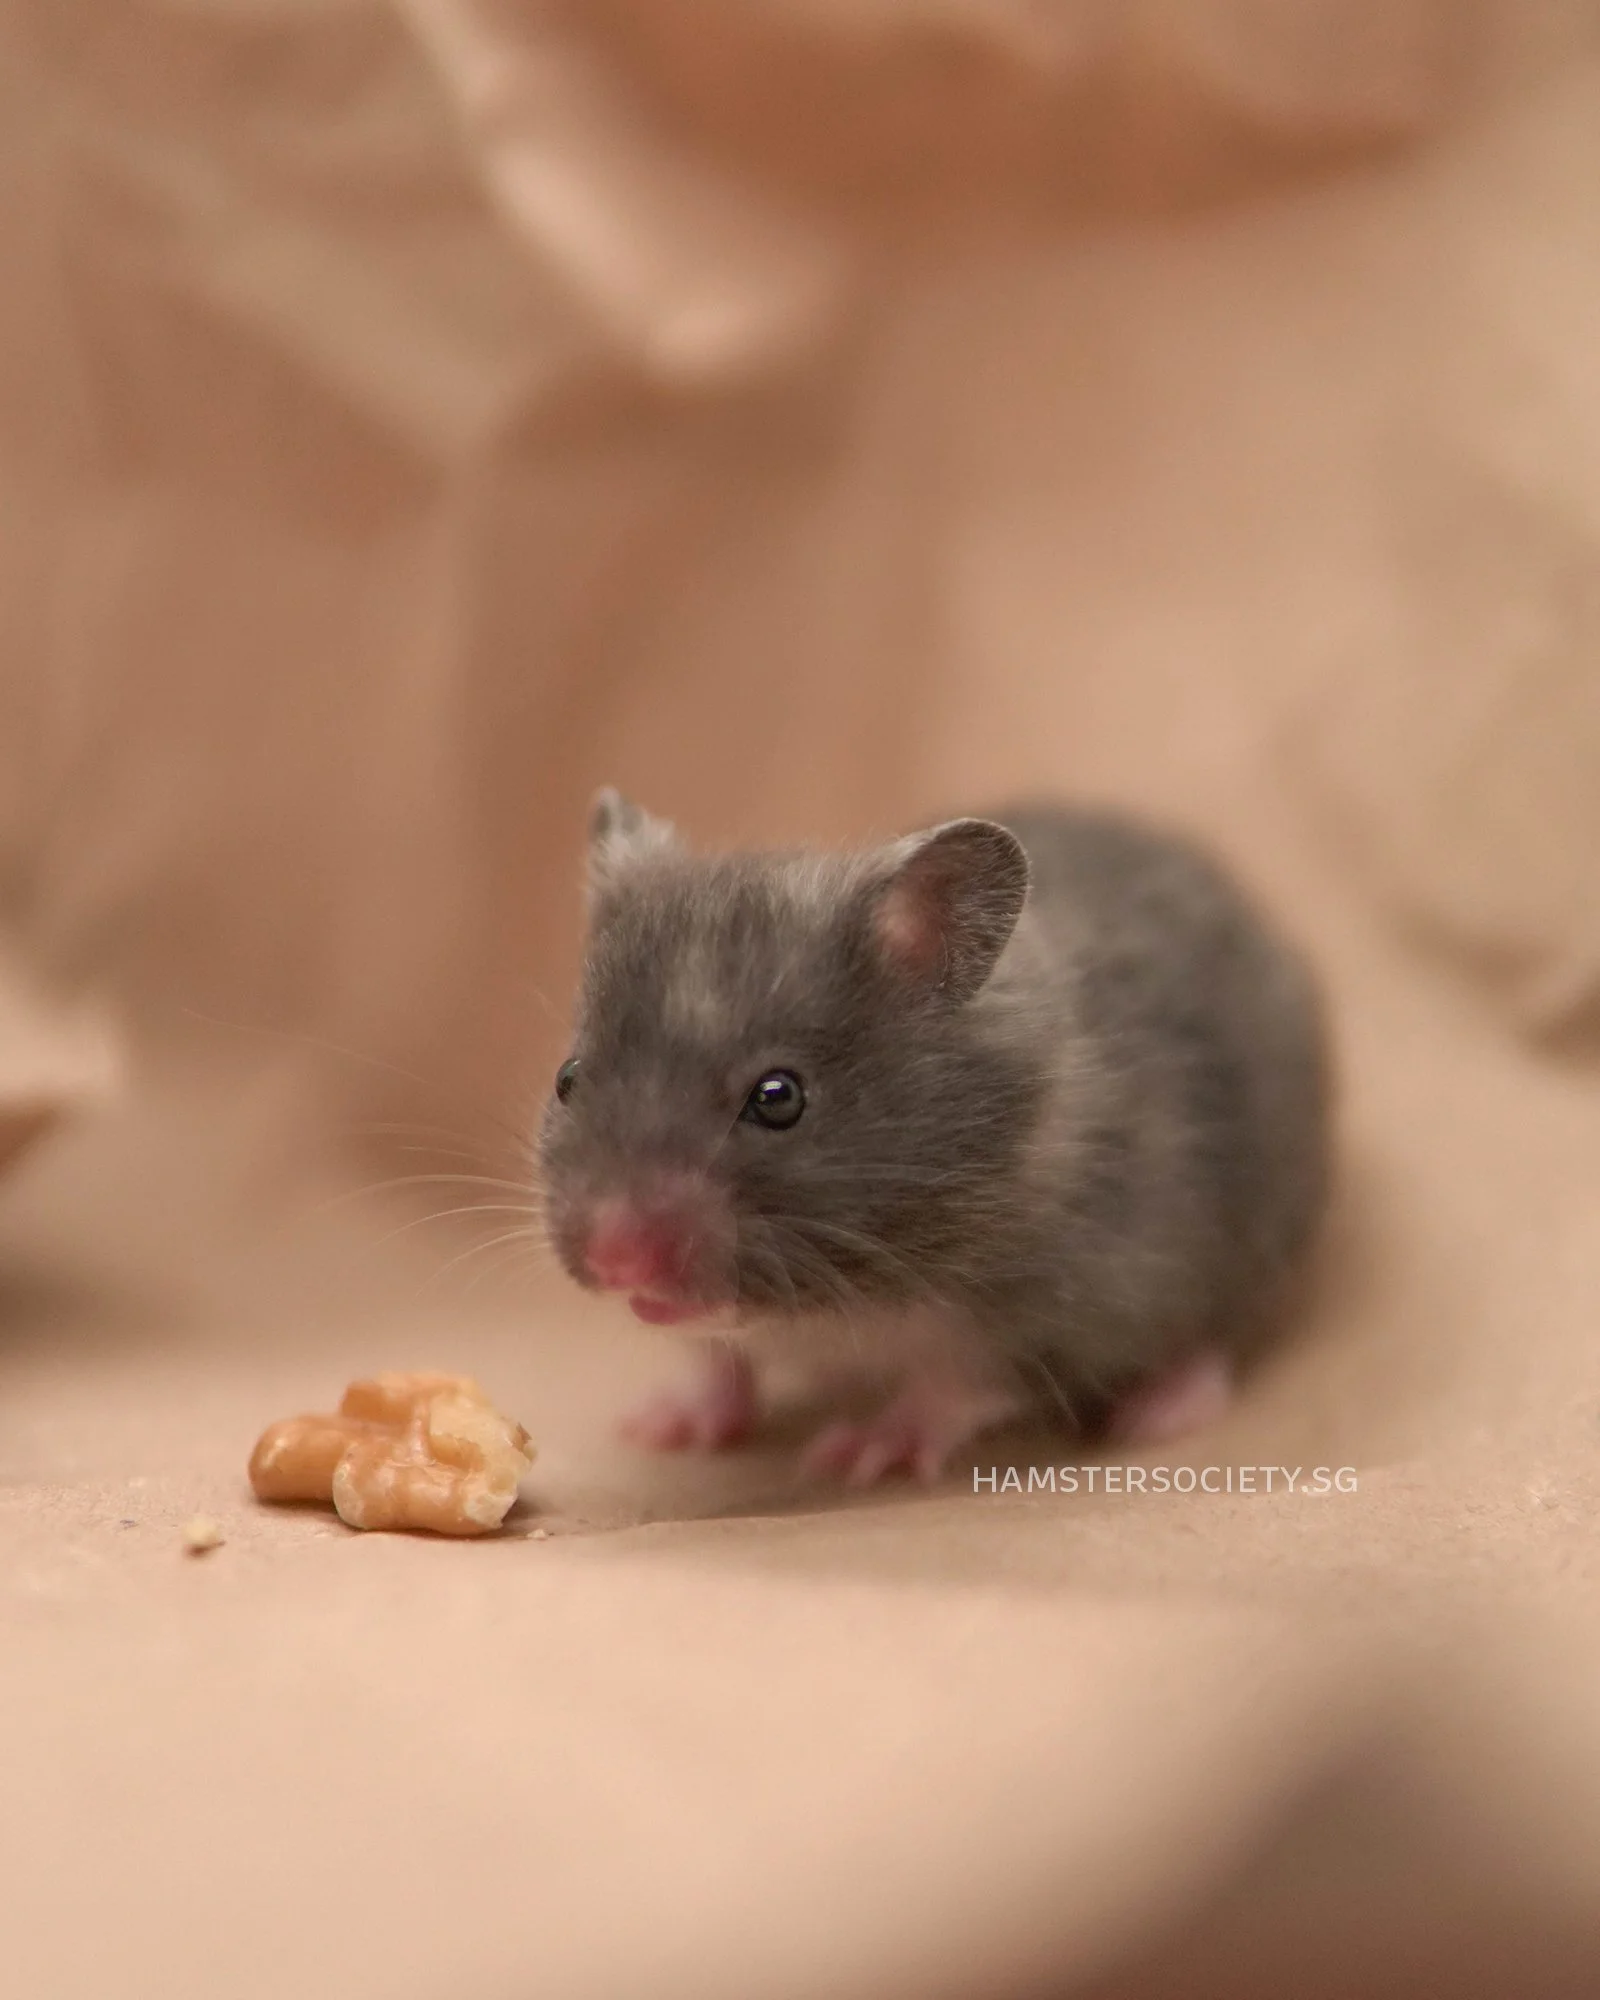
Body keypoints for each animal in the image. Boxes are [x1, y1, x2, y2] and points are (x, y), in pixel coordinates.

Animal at [537, 789, 1332, 1485]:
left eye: (778, 1097)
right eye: (568, 1077)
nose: (614, 1262)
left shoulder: (1048, 1310)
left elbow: (956, 1386)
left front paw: (857, 1454)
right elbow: (717, 1362)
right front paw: (659, 1425)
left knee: (1214, 1340)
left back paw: (1159, 1415)